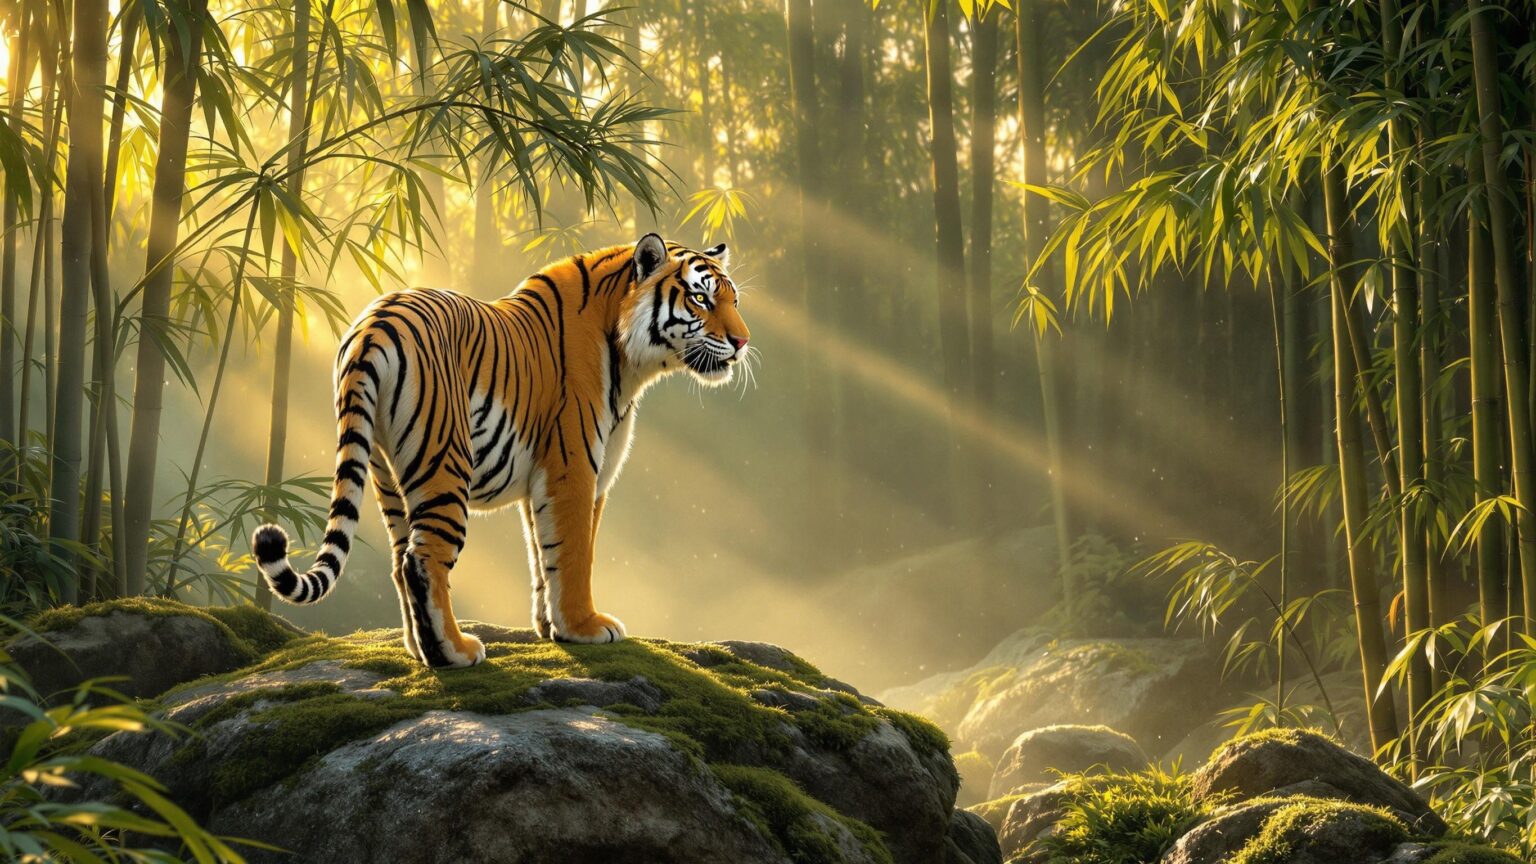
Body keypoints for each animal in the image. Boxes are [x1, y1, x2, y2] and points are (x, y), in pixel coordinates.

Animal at [251, 233, 751, 667]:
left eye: (734, 301)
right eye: (701, 299)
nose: (742, 342)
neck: (630, 358)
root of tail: (373, 325)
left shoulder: (544, 477)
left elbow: (544, 553)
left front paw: (553, 628)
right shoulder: (576, 465)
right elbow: (576, 551)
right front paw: (586, 627)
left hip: (383, 471)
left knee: (398, 558)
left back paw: (418, 648)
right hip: (445, 460)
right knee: (422, 559)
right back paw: (453, 652)